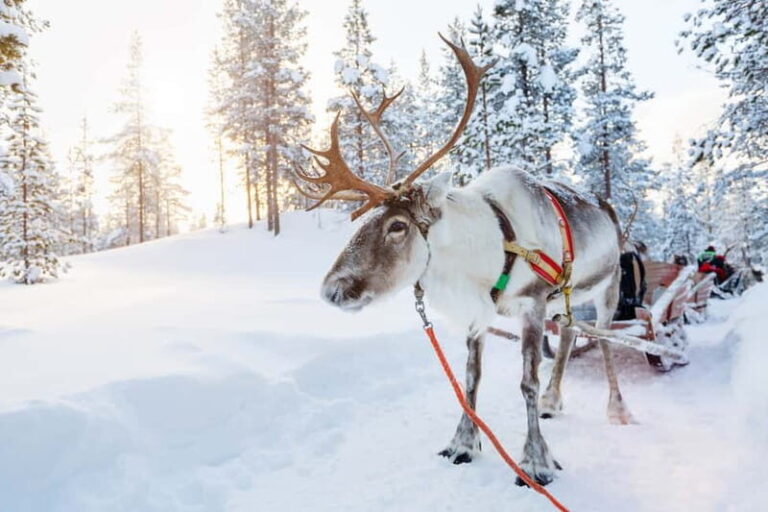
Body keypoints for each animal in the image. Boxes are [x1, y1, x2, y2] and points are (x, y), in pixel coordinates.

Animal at [293, 35, 635, 487]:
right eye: (365, 221)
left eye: (397, 226)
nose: (331, 289)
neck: (493, 245)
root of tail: (608, 208)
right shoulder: (480, 311)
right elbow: (471, 376)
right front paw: (462, 444)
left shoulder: (533, 302)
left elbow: (526, 380)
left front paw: (536, 462)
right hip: (566, 298)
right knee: (567, 335)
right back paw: (553, 400)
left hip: (608, 285)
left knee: (605, 338)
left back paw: (617, 408)